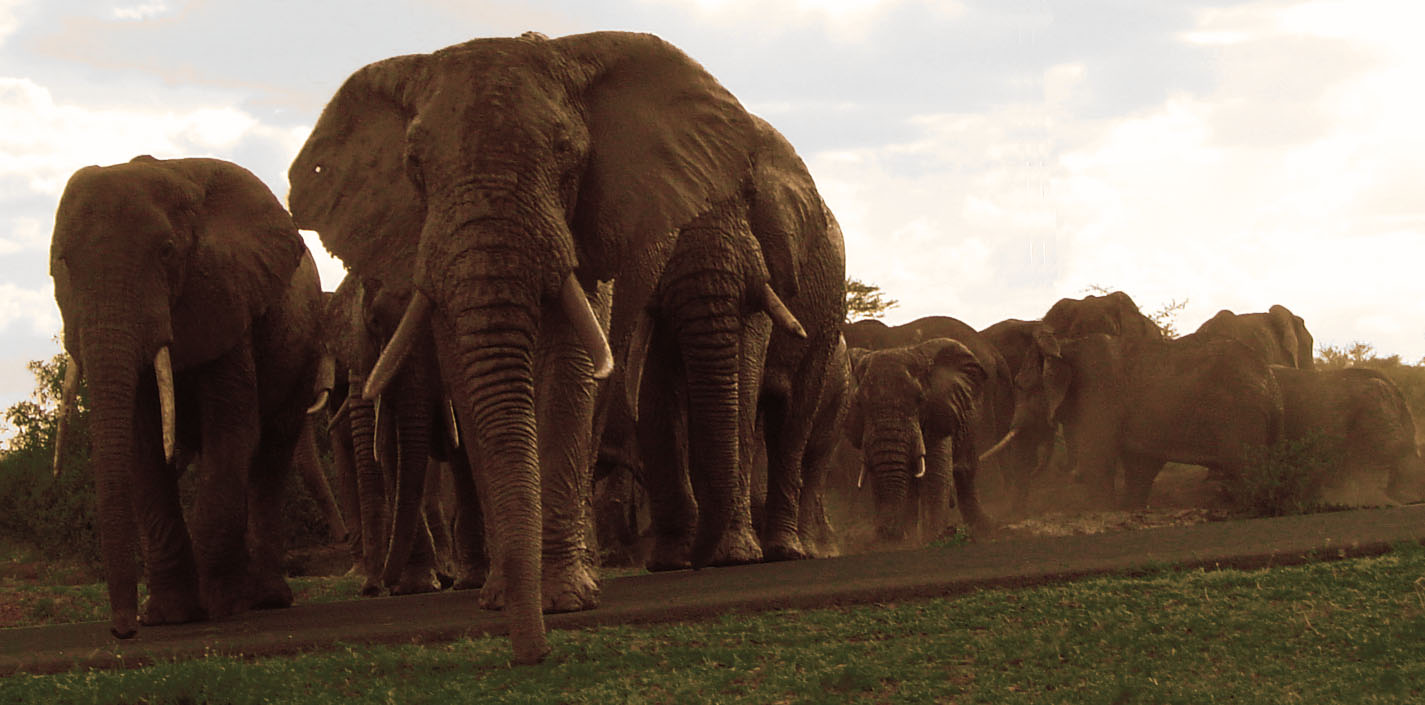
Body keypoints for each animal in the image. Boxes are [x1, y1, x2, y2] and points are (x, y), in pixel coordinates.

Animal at [49, 155, 324, 638]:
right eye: (63, 261)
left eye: (167, 252)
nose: (123, 629)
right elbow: (142, 445)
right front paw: (169, 615)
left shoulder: (227, 297)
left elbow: (231, 429)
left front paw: (223, 607)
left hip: (303, 349)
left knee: (271, 456)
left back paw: (265, 598)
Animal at [288, 31, 829, 663]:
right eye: (413, 165)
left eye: (569, 152)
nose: (533, 654)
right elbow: (472, 387)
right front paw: (503, 598)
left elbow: (570, 368)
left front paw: (563, 601)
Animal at [843, 338, 993, 545]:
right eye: (858, 403)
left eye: (920, 399)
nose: (888, 533)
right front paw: (901, 542)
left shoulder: (938, 413)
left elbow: (934, 475)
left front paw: (931, 540)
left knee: (965, 471)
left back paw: (983, 530)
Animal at [1001, 332, 1284, 508]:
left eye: (1021, 386)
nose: (1013, 518)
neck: (1066, 345)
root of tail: (1270, 382)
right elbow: (1140, 464)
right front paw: (1129, 509)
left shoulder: (1099, 396)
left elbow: (1097, 459)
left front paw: (1104, 510)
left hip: (1241, 418)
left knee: (1245, 468)